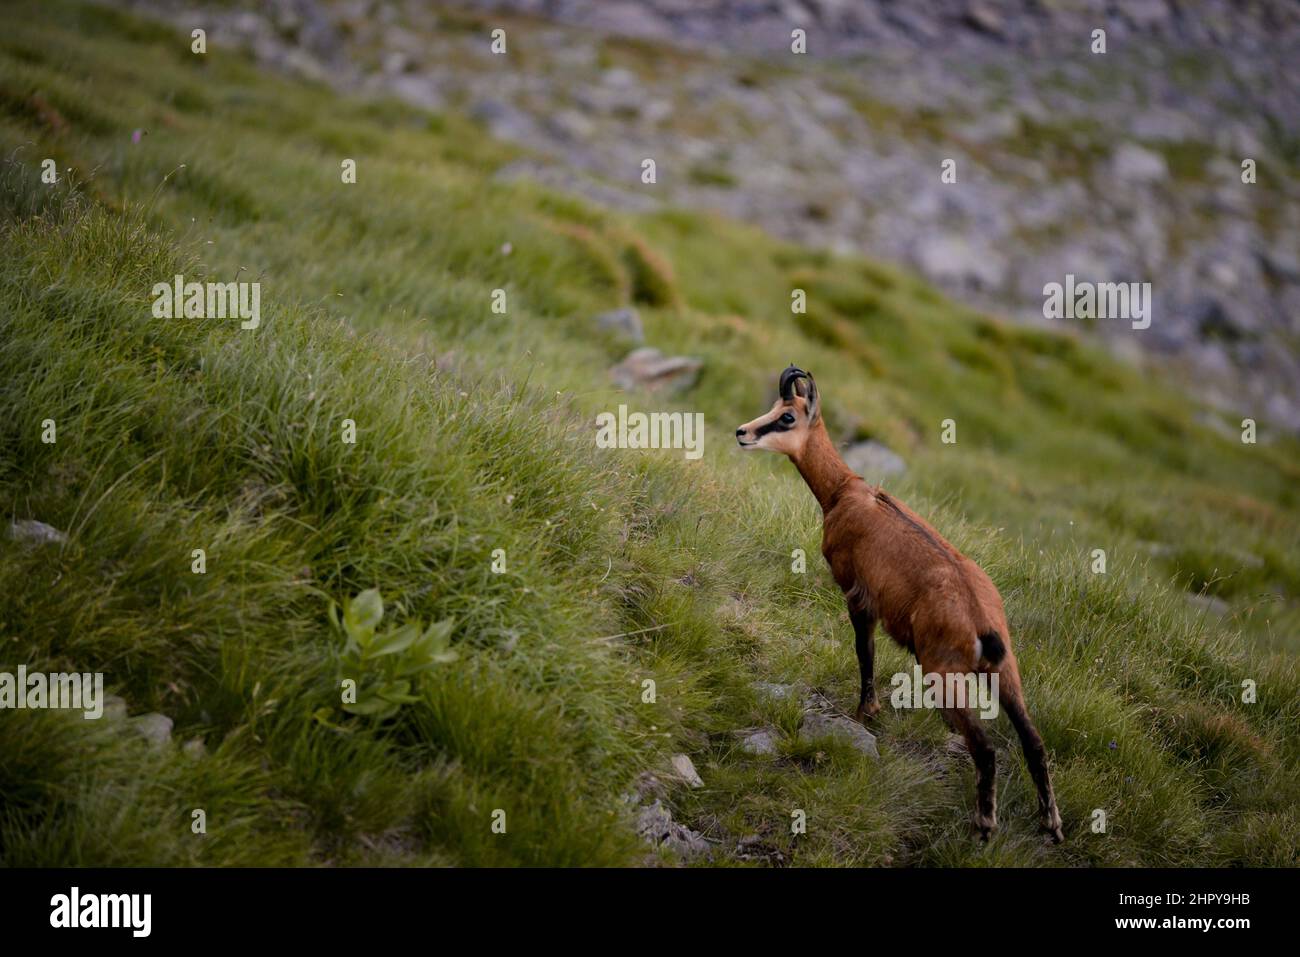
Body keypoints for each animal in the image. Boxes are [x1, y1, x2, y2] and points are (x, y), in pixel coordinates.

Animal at [736, 365, 1064, 843]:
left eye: (786, 417)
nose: (742, 432)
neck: (842, 493)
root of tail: (982, 623)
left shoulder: (857, 594)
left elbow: (865, 652)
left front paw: (865, 712)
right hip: (1006, 672)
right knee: (1033, 740)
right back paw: (1051, 824)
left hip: (942, 672)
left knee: (986, 748)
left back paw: (984, 825)